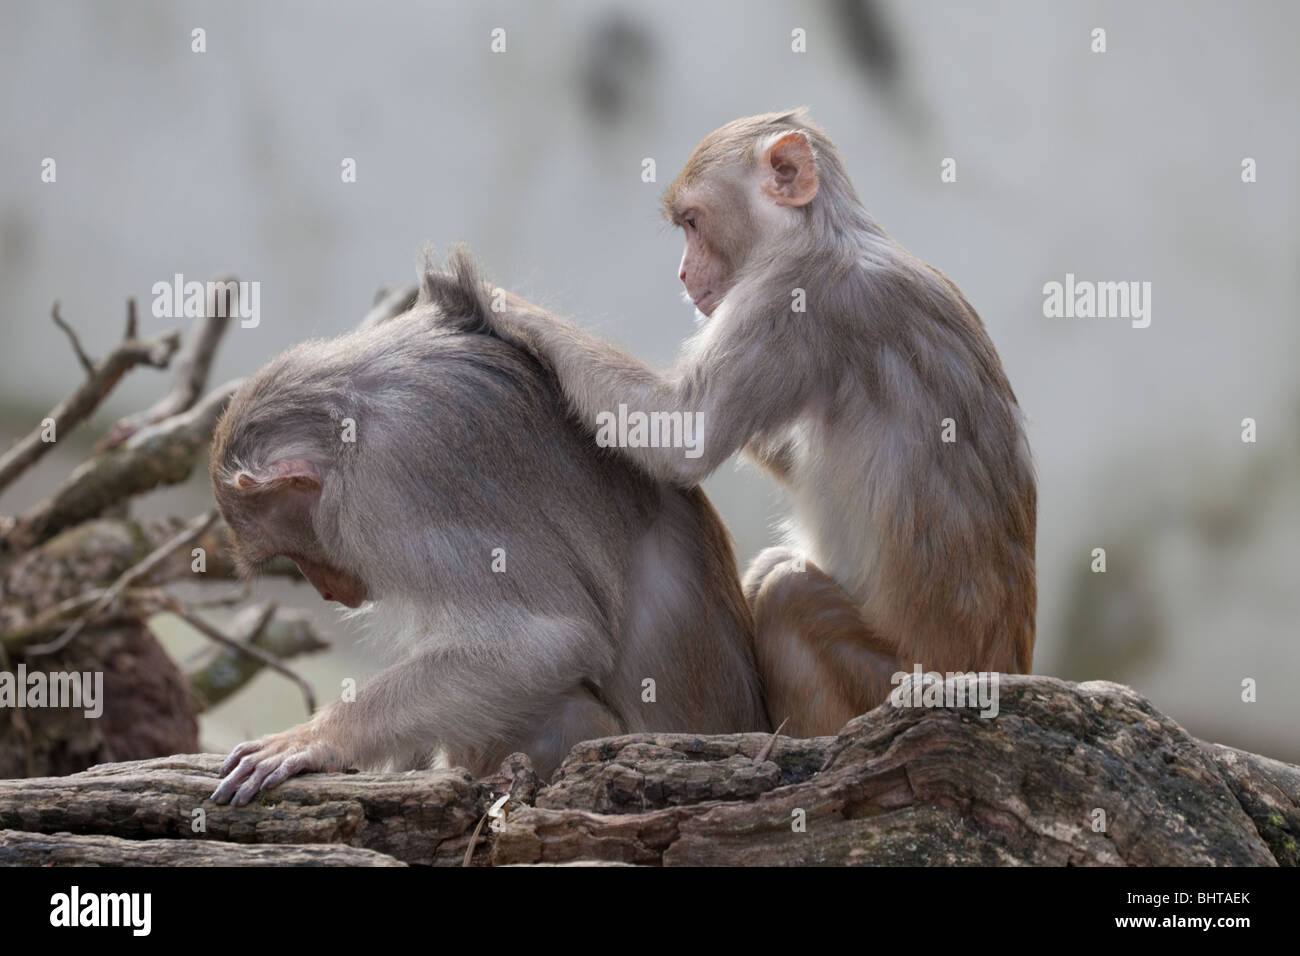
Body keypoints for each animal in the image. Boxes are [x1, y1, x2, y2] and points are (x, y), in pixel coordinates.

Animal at [207, 251, 768, 805]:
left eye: (301, 550)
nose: (327, 592)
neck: (348, 420)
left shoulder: (387, 492)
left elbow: (544, 644)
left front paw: (317, 739)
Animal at [442, 109, 1037, 738]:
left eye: (693, 222)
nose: (683, 274)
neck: (825, 229)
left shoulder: (792, 295)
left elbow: (683, 434)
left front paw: (488, 296)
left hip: (891, 681)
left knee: (786, 591)